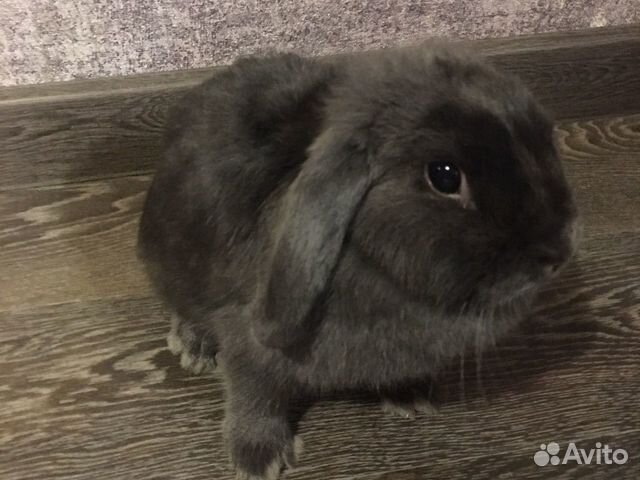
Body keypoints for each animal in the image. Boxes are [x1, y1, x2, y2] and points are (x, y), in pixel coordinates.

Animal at [138, 42, 577, 479]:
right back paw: (193, 347)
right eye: (445, 176)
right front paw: (259, 459)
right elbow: (255, 393)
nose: (558, 251)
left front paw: (409, 397)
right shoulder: (249, 345)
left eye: (545, 140)